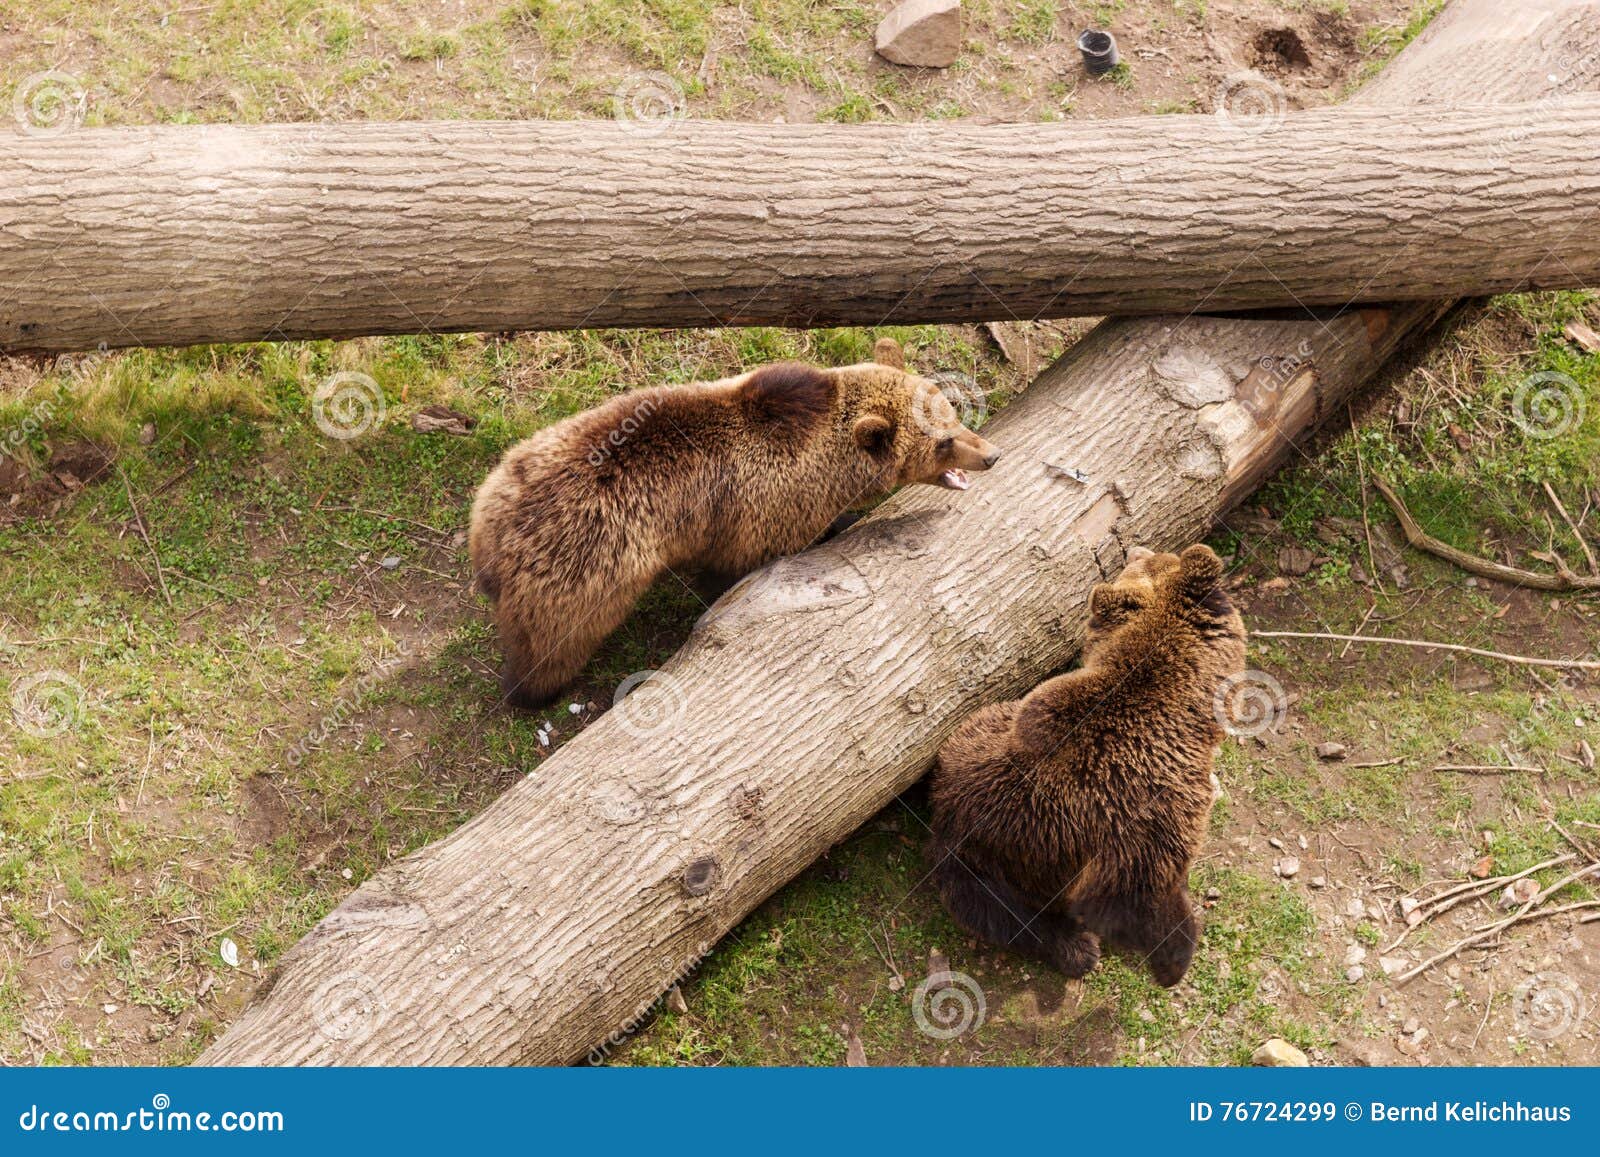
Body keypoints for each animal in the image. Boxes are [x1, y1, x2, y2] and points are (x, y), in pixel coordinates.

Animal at [469, 338, 1001, 707]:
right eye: (942, 443)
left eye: (952, 413)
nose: (991, 455)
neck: (831, 463)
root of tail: (493, 539)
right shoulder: (759, 517)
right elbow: (734, 570)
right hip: (582, 576)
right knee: (550, 646)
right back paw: (533, 693)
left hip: (519, 466)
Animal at [925, 543, 1245, 987]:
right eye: (1155, 557)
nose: (1134, 546)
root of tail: (945, 827)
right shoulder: (1154, 820)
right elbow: (1144, 897)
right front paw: (1174, 957)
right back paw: (1081, 948)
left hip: (970, 741)